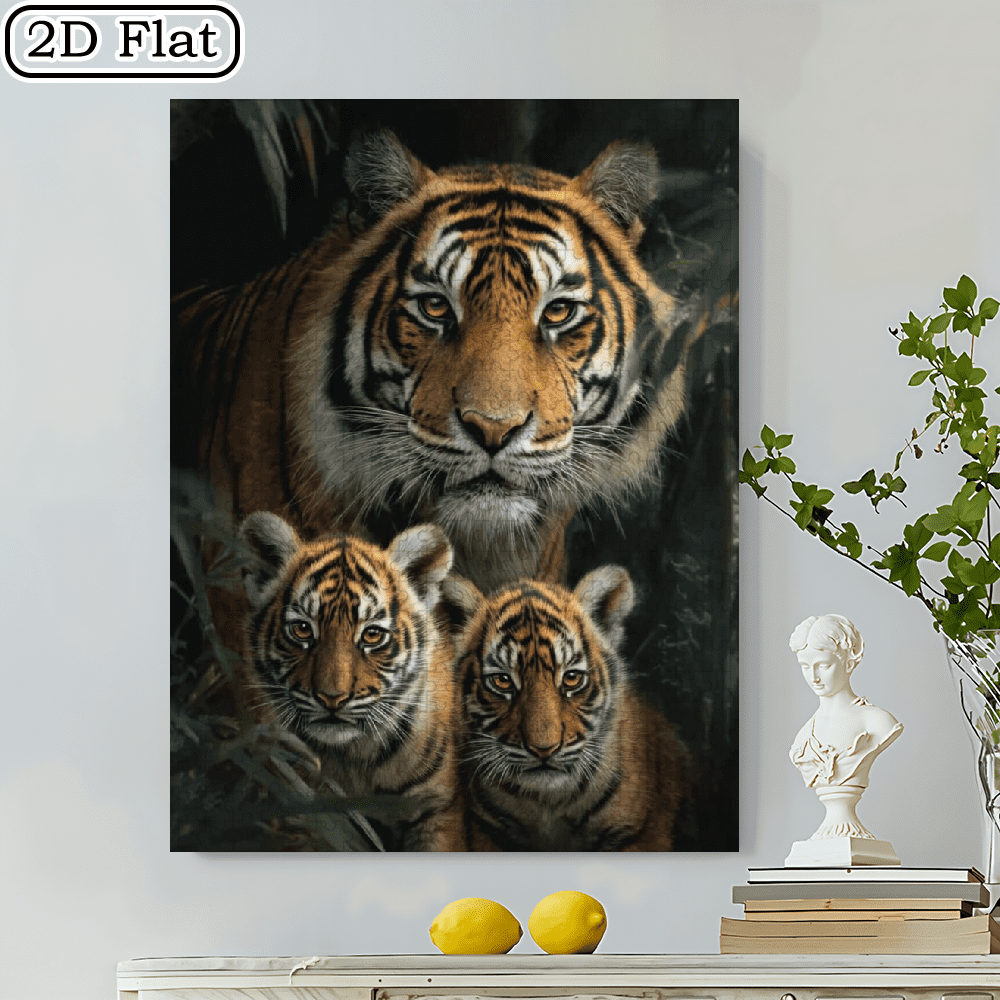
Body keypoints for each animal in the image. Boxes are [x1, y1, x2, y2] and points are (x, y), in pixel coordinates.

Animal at [445, 566, 691, 851]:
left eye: (571, 678)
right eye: (502, 681)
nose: (544, 749)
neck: (548, 804)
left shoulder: (636, 833)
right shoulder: (488, 830)